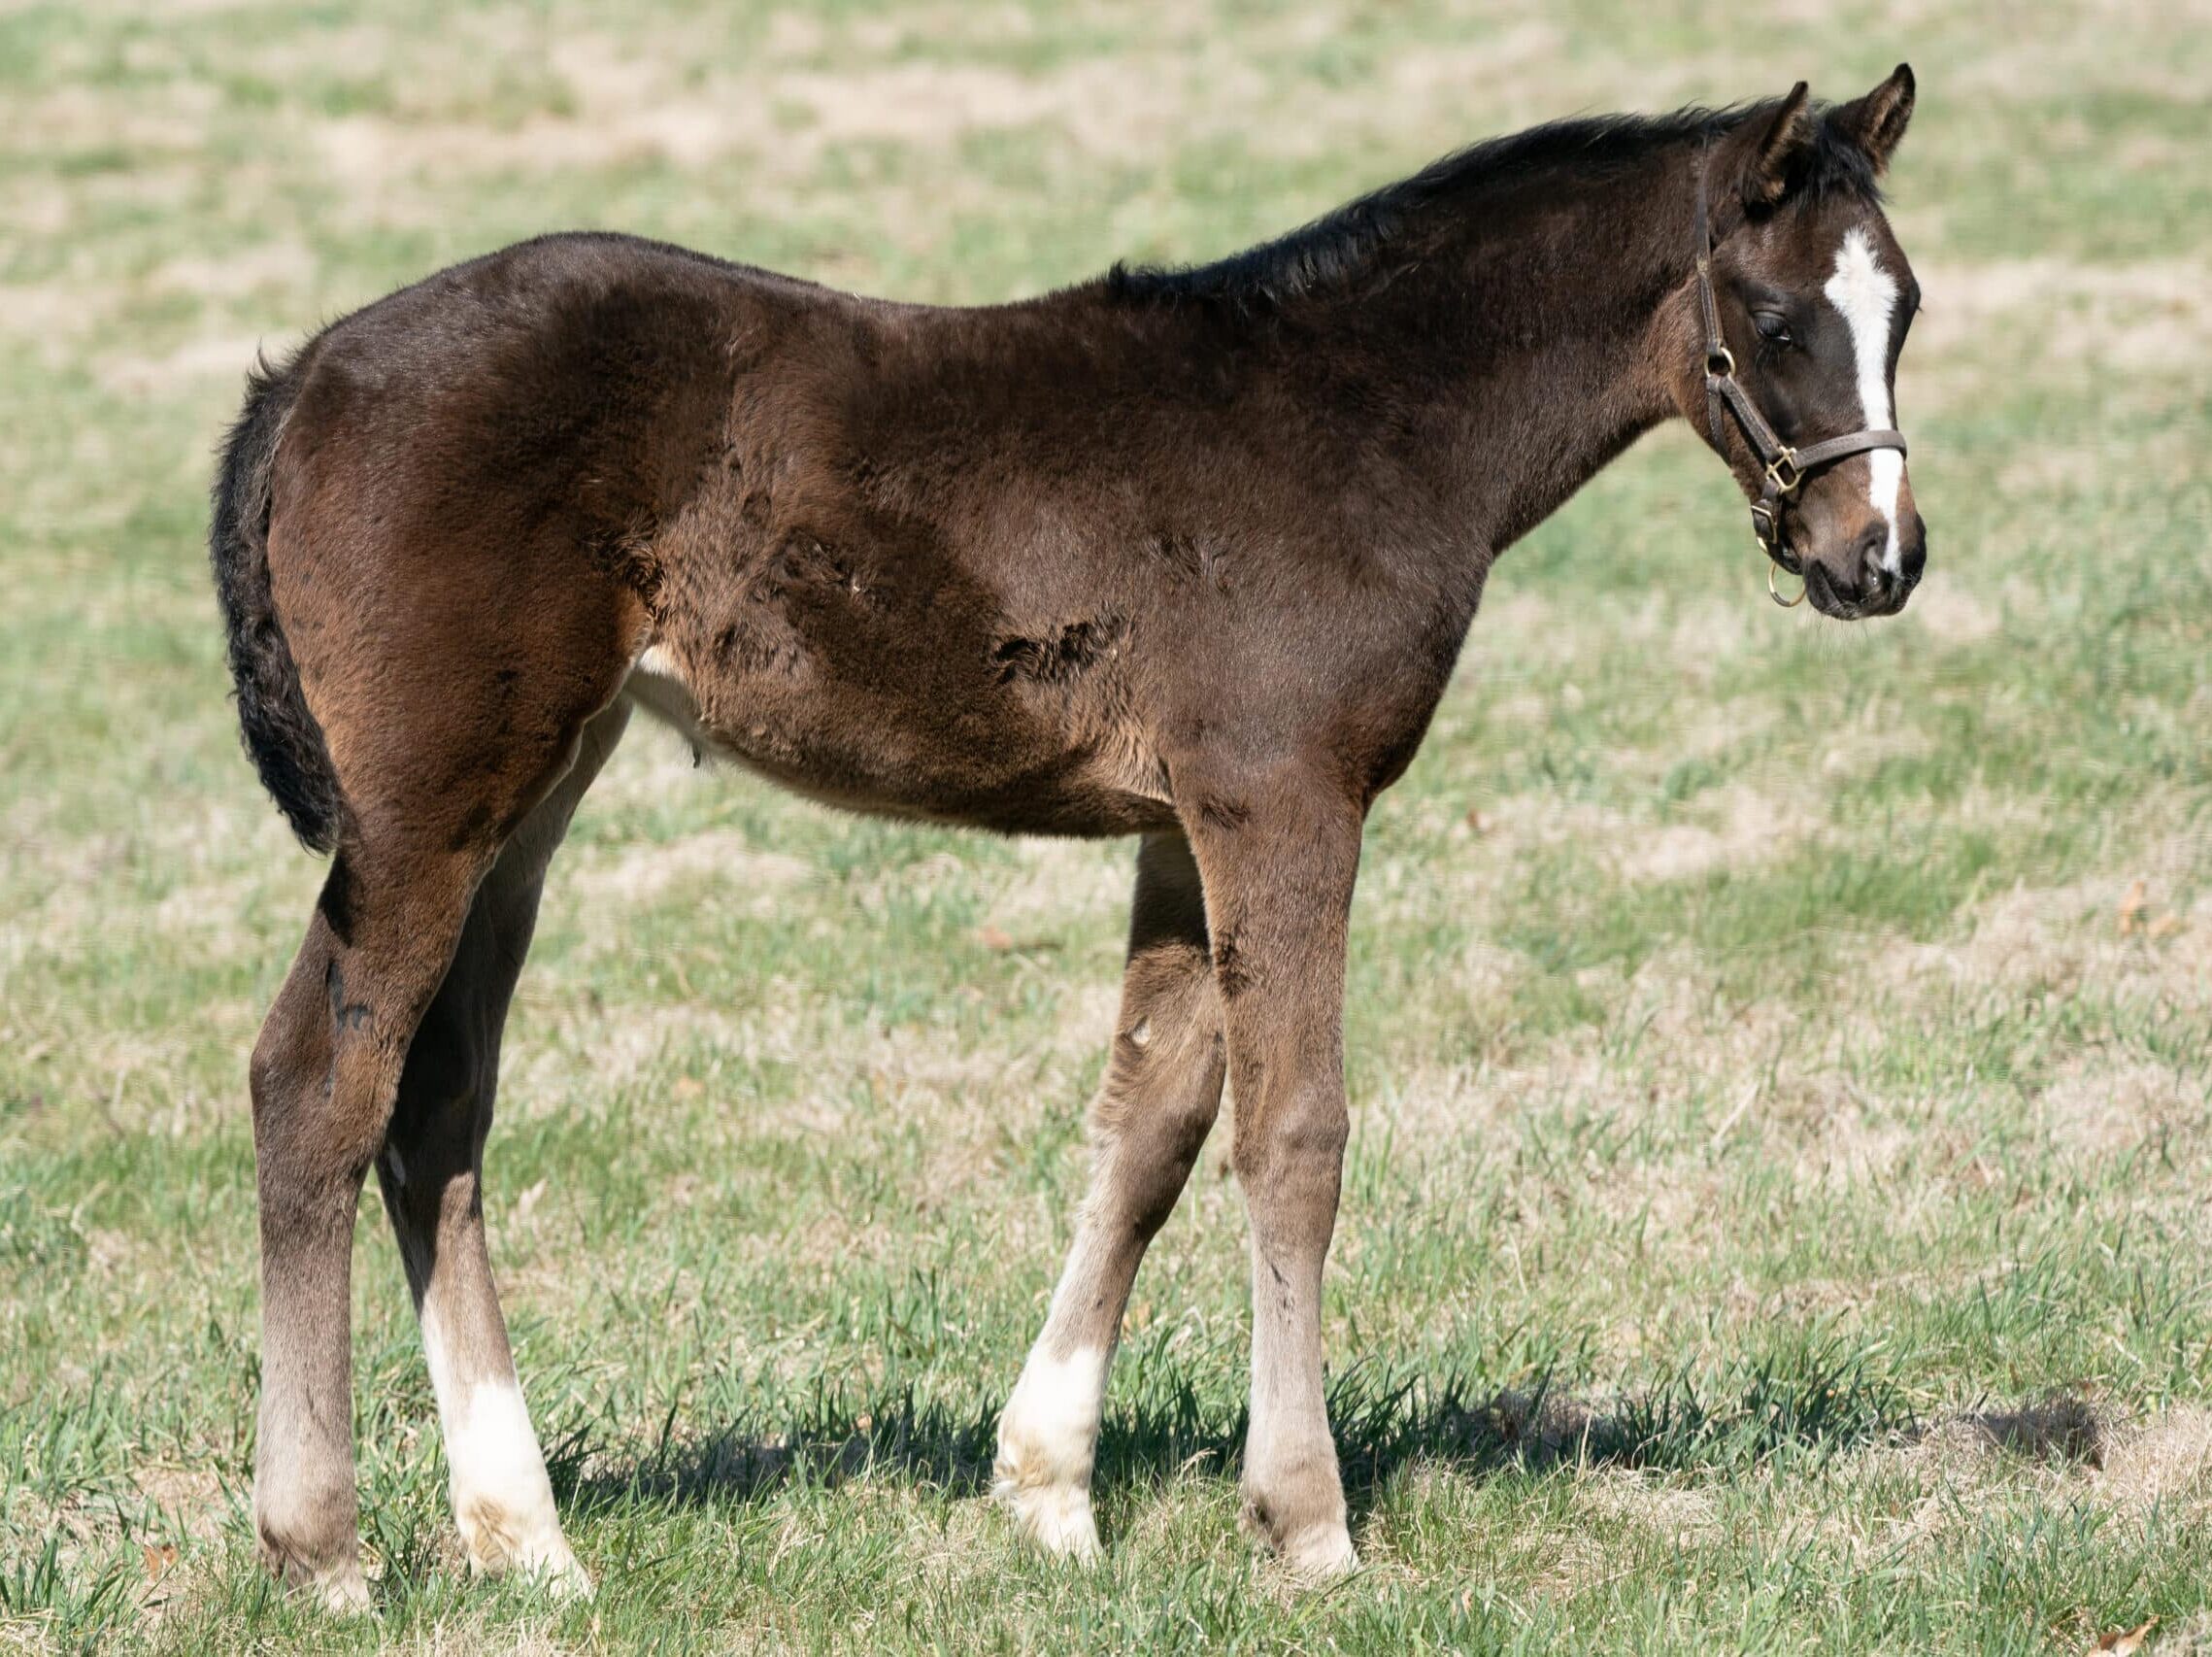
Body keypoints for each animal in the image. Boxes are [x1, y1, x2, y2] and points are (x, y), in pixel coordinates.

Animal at [210, 67, 1924, 1606]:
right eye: (1780, 322)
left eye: (1901, 310)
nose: (1879, 559)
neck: (1366, 421)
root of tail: (307, 376)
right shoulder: (1285, 798)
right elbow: (1294, 1136)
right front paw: (1306, 1524)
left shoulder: (1186, 823)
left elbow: (1150, 1126)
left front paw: (1047, 1491)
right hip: (428, 808)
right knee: (317, 1082)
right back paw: (325, 1547)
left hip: (538, 789)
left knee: (438, 1106)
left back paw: (527, 1540)